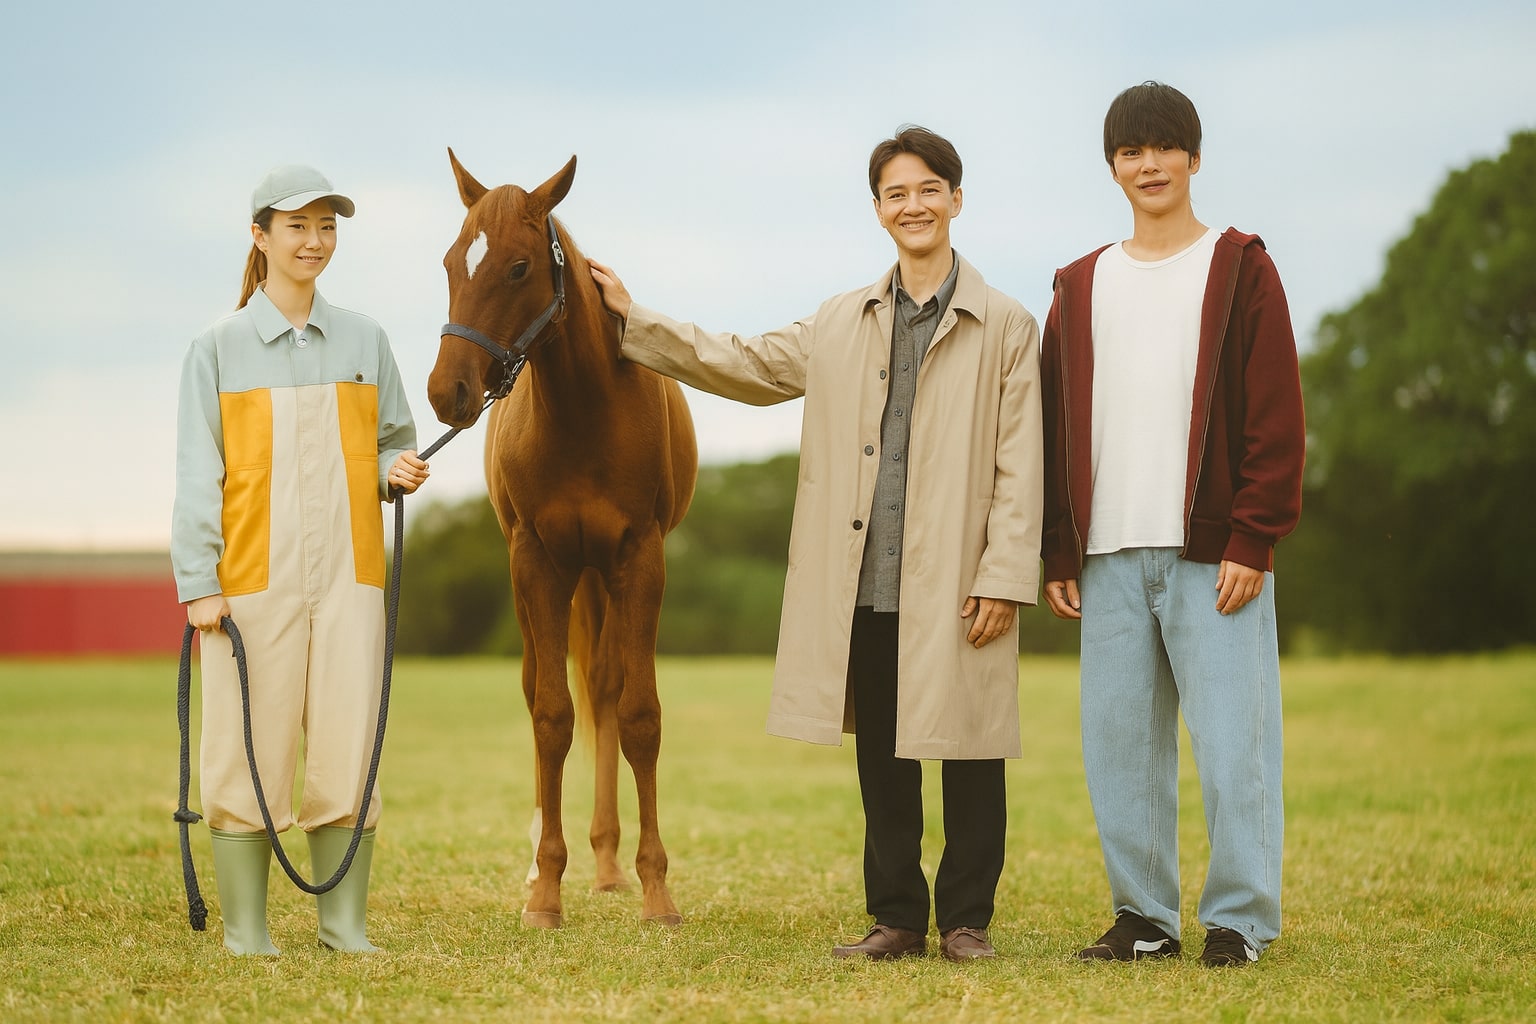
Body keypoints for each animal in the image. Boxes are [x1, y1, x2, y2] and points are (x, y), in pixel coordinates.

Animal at [427, 151, 697, 928]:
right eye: (452, 261)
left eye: (519, 267)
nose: (446, 392)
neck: (585, 411)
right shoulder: (537, 560)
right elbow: (550, 716)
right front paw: (545, 892)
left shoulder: (640, 558)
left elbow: (638, 716)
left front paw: (656, 891)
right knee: (545, 693)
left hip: (601, 575)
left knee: (605, 690)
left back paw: (608, 864)